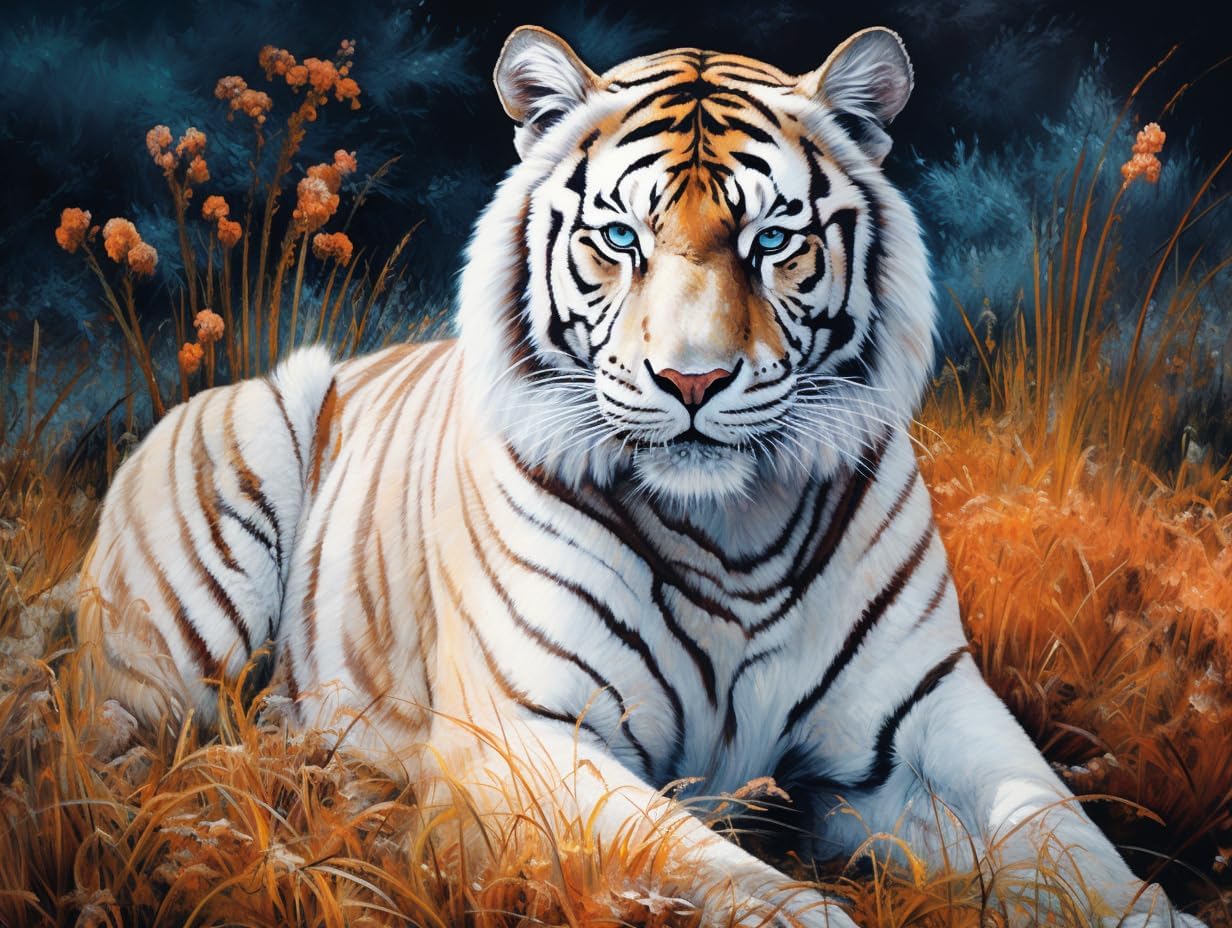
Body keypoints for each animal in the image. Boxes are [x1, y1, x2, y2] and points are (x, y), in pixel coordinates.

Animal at [78, 25, 1203, 928]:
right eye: (619, 237)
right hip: (205, 581)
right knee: (121, 761)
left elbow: (1068, 840)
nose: (693, 378)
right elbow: (731, 877)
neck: (734, 528)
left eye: (772, 239)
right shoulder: (525, 732)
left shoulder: (923, 714)